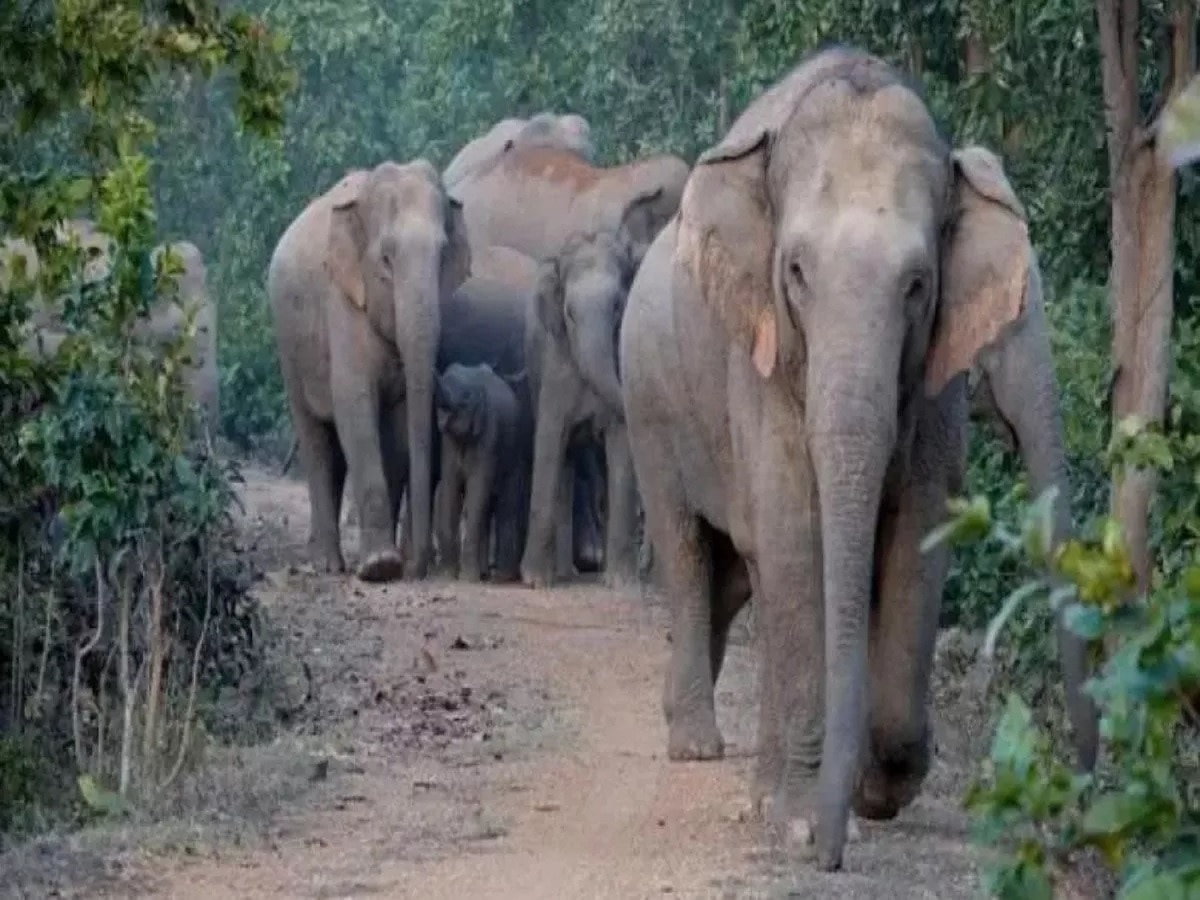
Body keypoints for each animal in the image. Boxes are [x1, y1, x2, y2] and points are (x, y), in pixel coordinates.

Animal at [267, 160, 470, 582]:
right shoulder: (342, 300)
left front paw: (387, 563)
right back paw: (327, 565)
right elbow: (355, 406)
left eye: (444, 255)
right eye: (387, 259)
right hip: (287, 347)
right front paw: (379, 567)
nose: (418, 568)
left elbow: (397, 425)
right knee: (315, 437)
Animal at [434, 362, 530, 581]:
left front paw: (468, 579)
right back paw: (485, 573)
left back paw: (502, 576)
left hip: (514, 455)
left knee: (506, 505)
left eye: (466, 399)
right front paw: (446, 575)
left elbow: (476, 492)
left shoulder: (489, 437)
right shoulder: (448, 443)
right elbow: (450, 489)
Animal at [619, 48, 1098, 872]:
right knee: (689, 549)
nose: (831, 858)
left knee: (743, 573)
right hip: (648, 401)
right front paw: (803, 823)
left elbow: (917, 532)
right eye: (796, 272)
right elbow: (795, 528)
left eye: (918, 284)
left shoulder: (934, 375)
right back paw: (698, 747)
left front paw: (876, 790)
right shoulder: (761, 351)